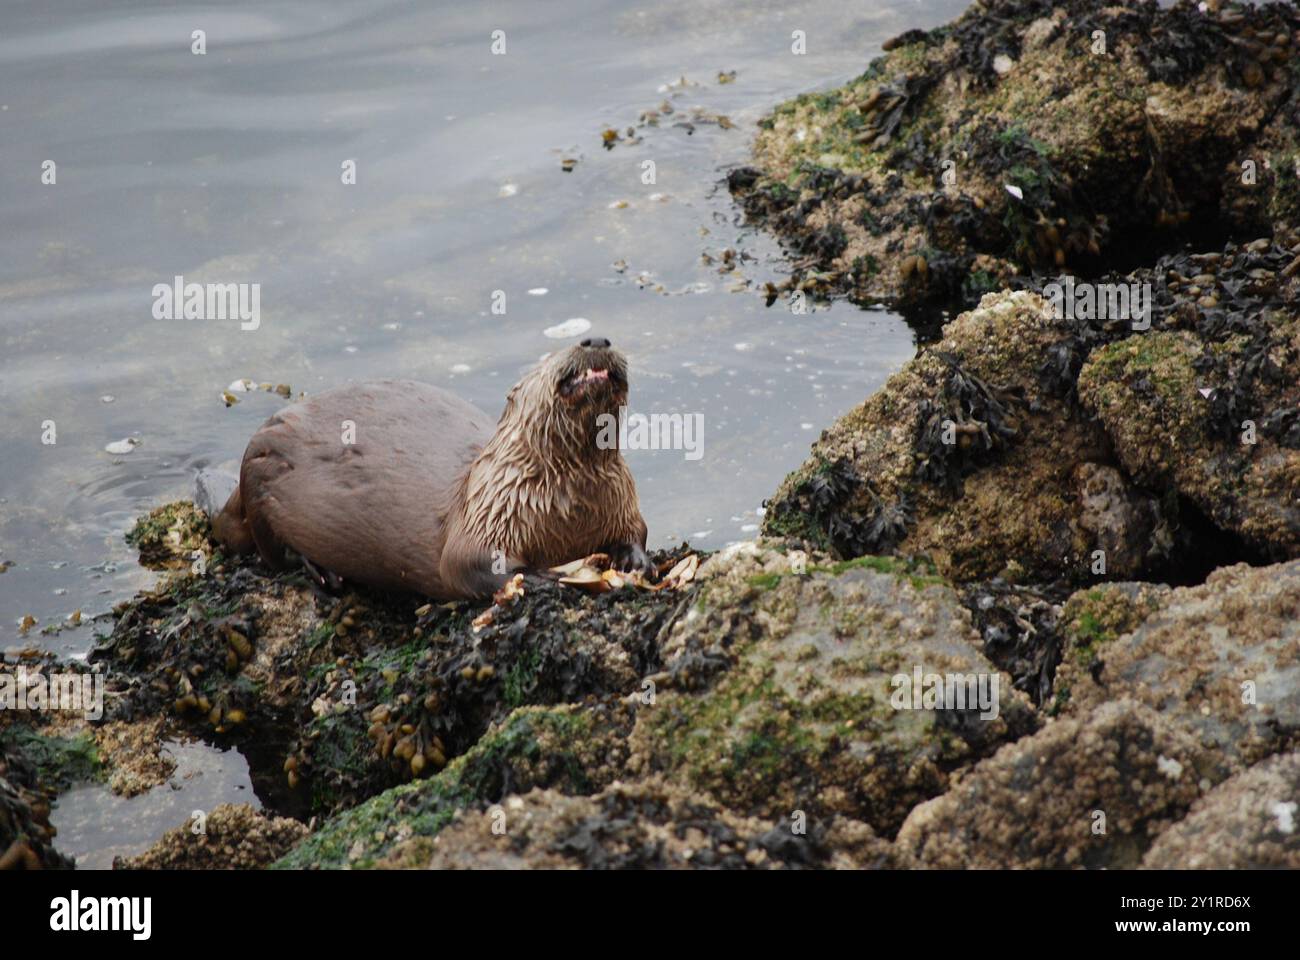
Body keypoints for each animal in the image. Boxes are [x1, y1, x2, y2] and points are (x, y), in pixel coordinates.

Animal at [210, 338, 651, 599]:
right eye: (548, 357)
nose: (597, 339)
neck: (569, 509)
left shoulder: (623, 503)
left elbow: (638, 531)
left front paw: (634, 560)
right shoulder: (486, 513)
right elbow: (463, 563)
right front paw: (545, 577)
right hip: (261, 472)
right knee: (271, 552)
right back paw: (320, 571)